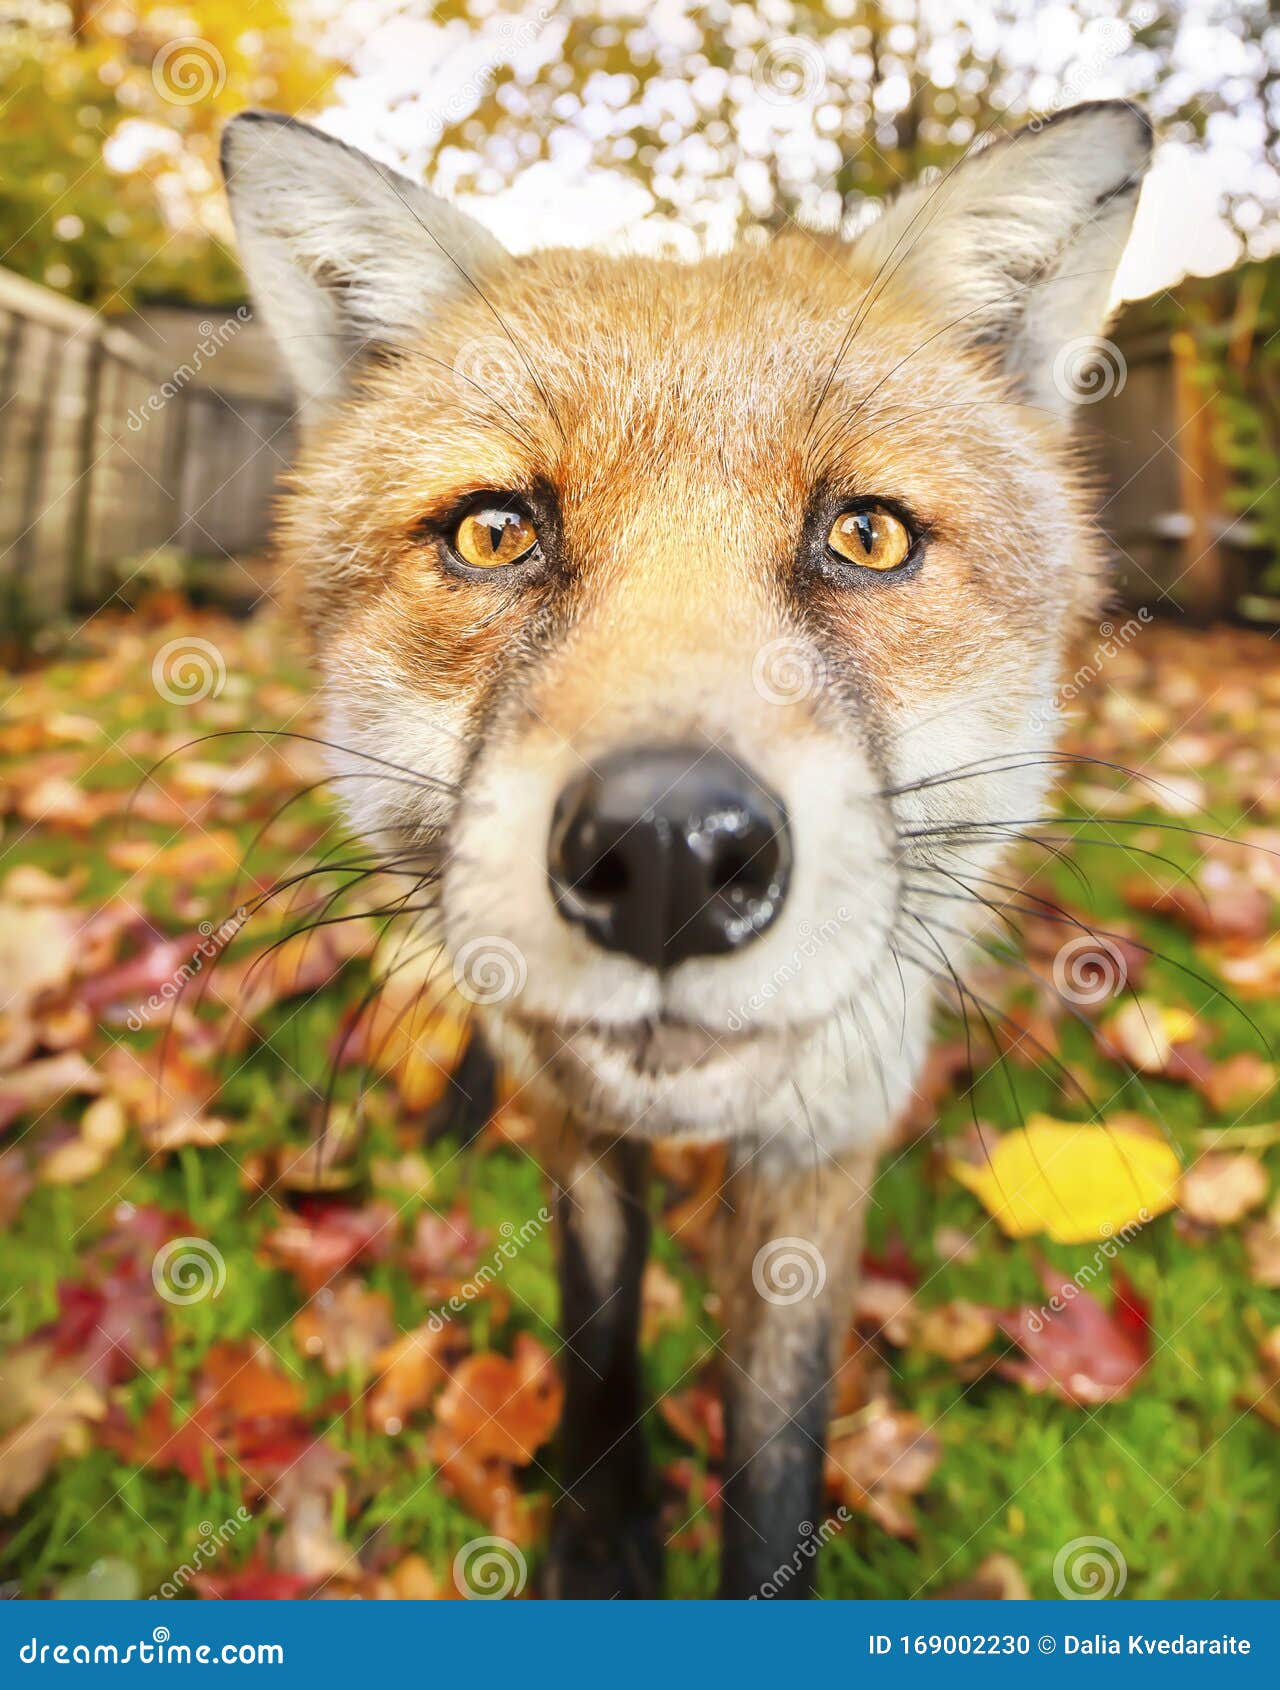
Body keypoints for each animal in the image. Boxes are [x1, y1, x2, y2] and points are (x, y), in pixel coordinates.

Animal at [220, 97, 1152, 1599]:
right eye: (494, 531)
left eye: (866, 534)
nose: (668, 854)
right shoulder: (582, 1126)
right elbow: (596, 1332)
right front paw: (601, 1540)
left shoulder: (819, 1148)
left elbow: (776, 1459)